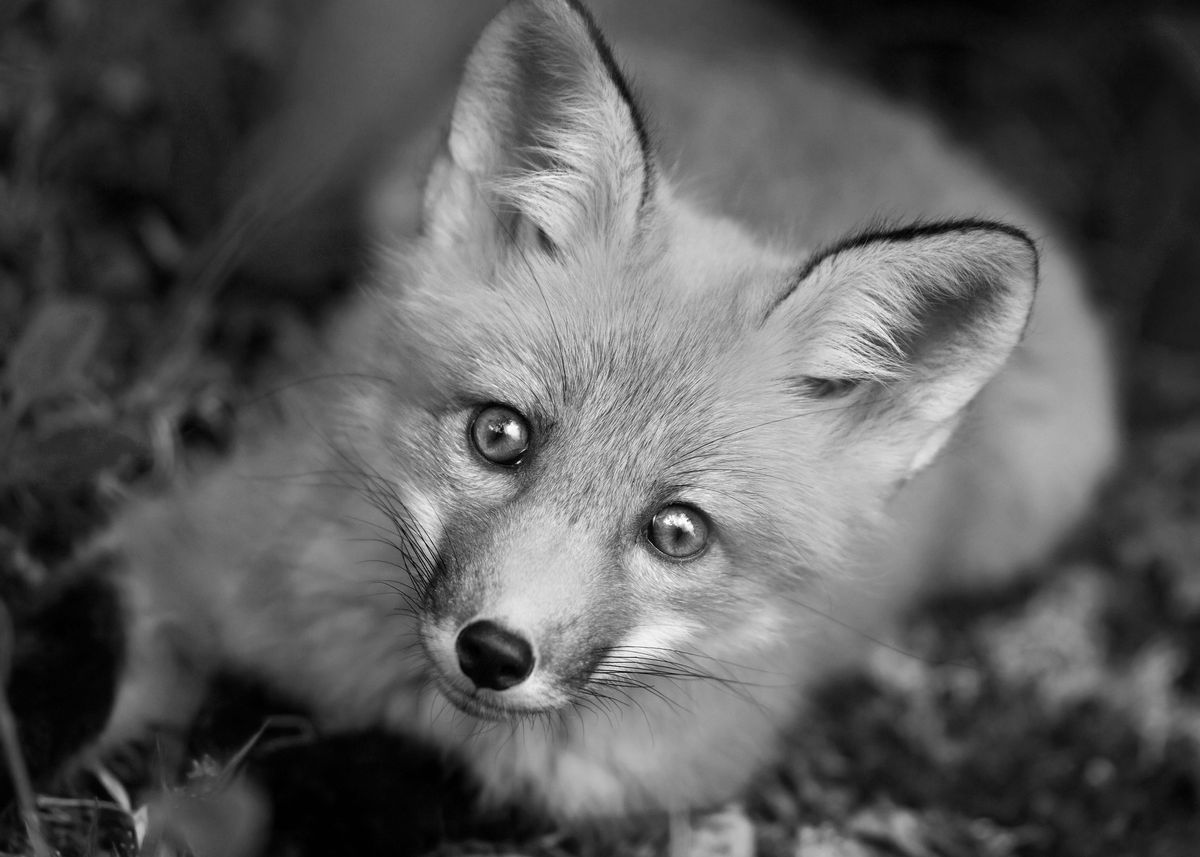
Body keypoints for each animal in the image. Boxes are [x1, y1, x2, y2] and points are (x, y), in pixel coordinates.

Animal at [94, 0, 1118, 823]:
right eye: (499, 434)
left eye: (678, 530)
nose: (493, 651)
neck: (414, 714)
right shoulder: (184, 537)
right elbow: (130, 701)